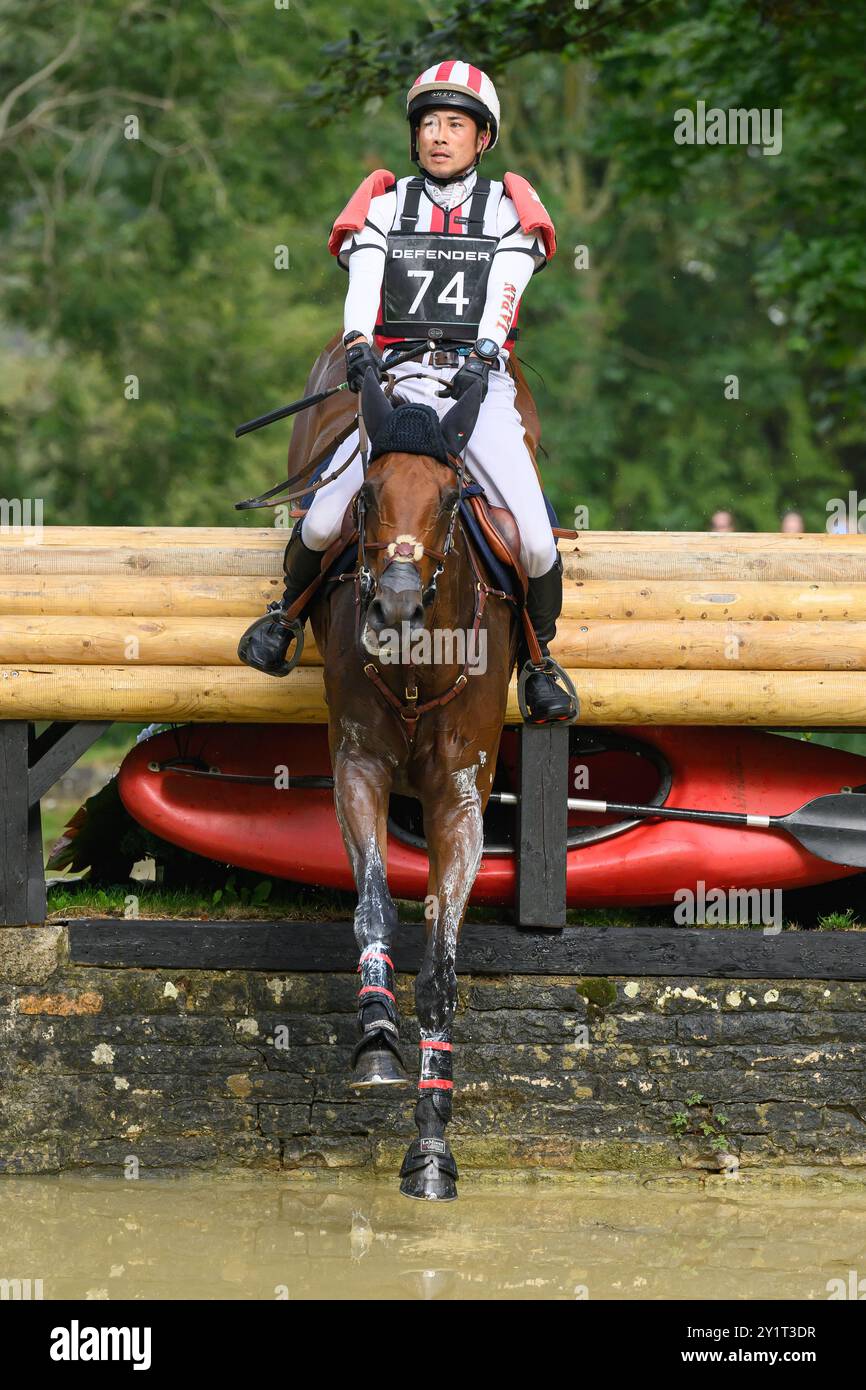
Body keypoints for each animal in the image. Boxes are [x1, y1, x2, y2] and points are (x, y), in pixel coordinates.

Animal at [306, 366, 525, 1200]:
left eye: (453, 498)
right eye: (368, 496)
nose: (394, 601)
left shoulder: (459, 798)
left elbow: (441, 966)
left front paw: (432, 1147)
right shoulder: (359, 766)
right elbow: (373, 905)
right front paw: (376, 1038)